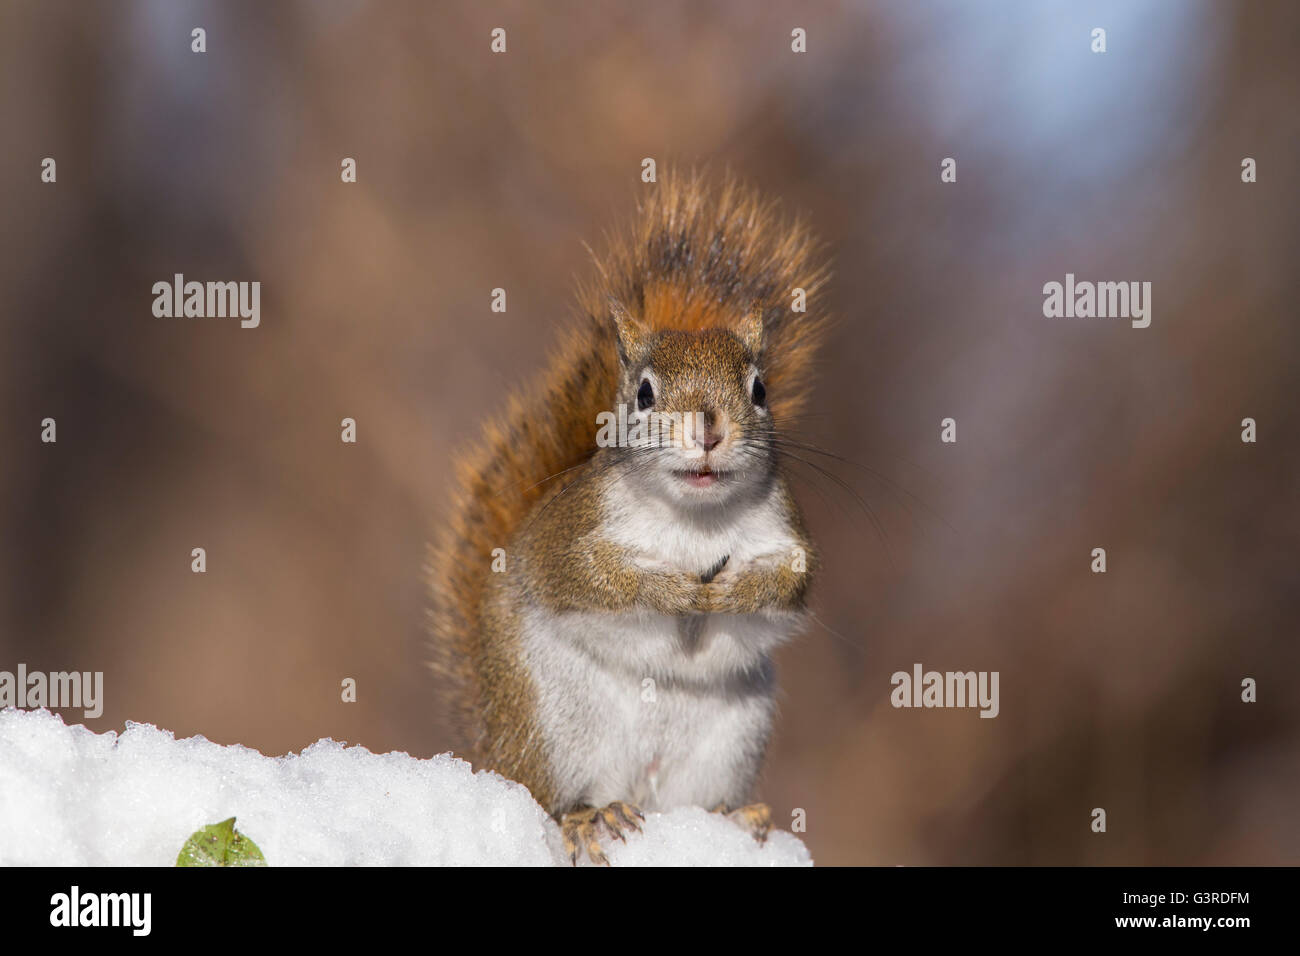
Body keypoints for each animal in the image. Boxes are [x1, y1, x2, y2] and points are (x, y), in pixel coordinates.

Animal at [429, 173, 829, 864]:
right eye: (643, 393)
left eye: (759, 389)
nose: (707, 430)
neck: (695, 518)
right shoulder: (570, 535)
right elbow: (589, 578)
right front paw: (671, 588)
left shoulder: (786, 529)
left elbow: (792, 580)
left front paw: (734, 589)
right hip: (551, 722)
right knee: (556, 797)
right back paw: (589, 818)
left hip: (733, 733)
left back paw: (731, 816)